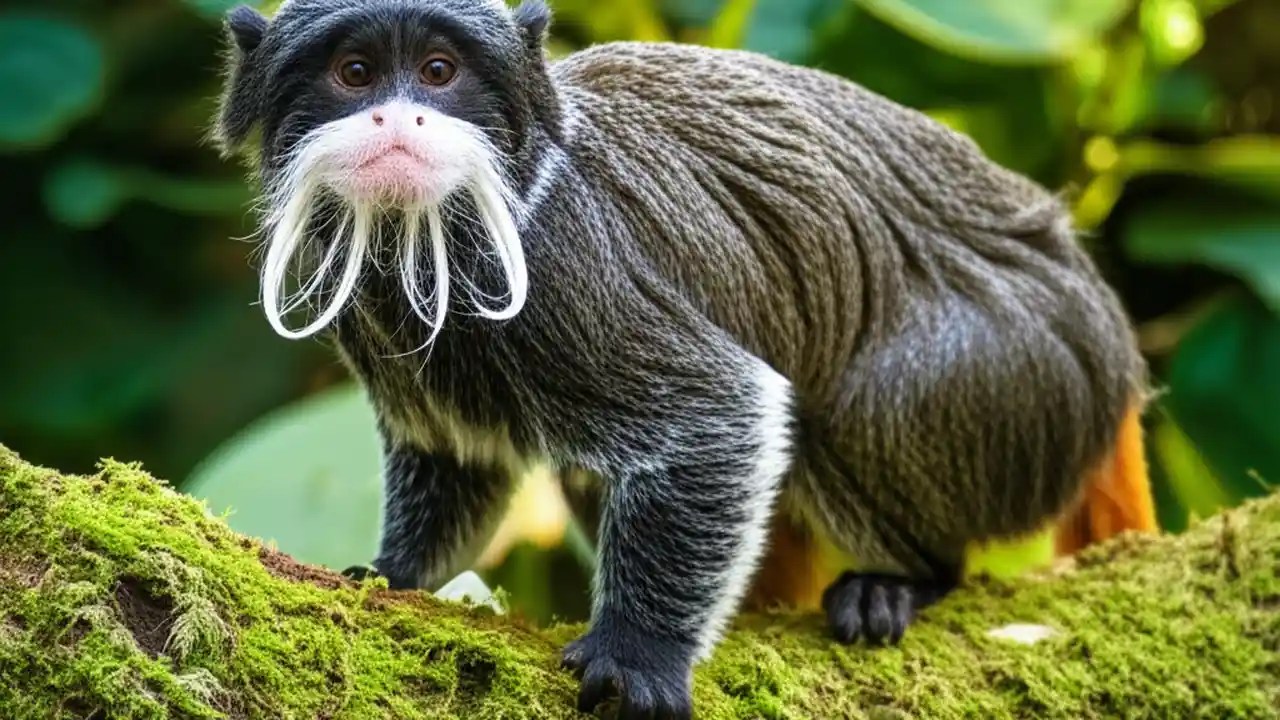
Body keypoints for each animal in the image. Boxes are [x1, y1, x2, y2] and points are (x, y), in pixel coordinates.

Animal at [211, 1, 1157, 718]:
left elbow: (717, 415)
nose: (398, 116)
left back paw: (906, 580)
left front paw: (642, 654)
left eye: (439, 73)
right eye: (355, 74)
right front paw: (400, 574)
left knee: (861, 403)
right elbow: (455, 457)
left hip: (1030, 370)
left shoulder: (565, 263)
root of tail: (1113, 342)